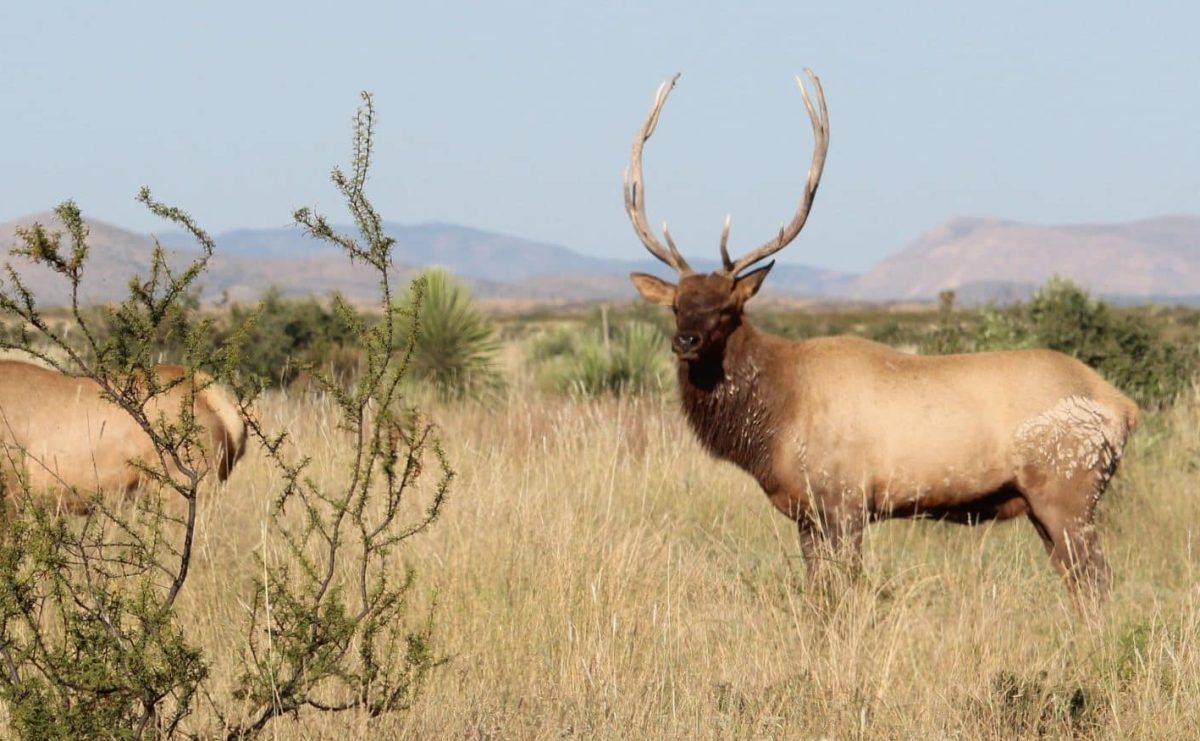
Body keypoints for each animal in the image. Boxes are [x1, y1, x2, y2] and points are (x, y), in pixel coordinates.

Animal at [623, 70, 1140, 599]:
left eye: (729, 308)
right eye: (677, 305)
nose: (686, 342)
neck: (773, 425)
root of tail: (1124, 408)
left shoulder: (846, 499)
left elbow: (843, 589)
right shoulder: (808, 514)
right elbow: (818, 590)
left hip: (1068, 489)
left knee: (1098, 581)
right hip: (1044, 503)